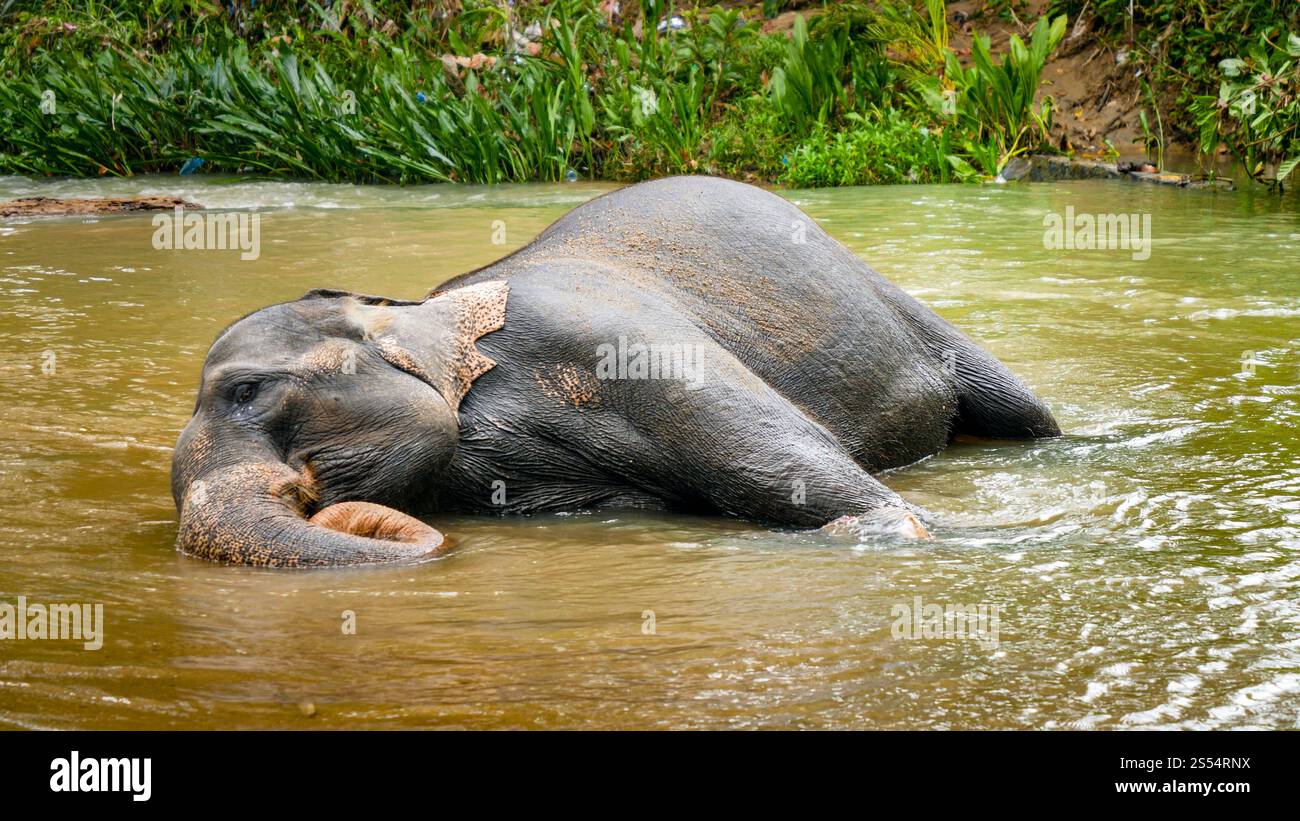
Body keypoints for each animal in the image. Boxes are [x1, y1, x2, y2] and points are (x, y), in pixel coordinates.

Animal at [171, 176, 1059, 567]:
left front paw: (896, 526)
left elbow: (793, 463)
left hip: (895, 299)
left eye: (247, 390)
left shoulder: (624, 342)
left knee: (1026, 412)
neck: (417, 313)